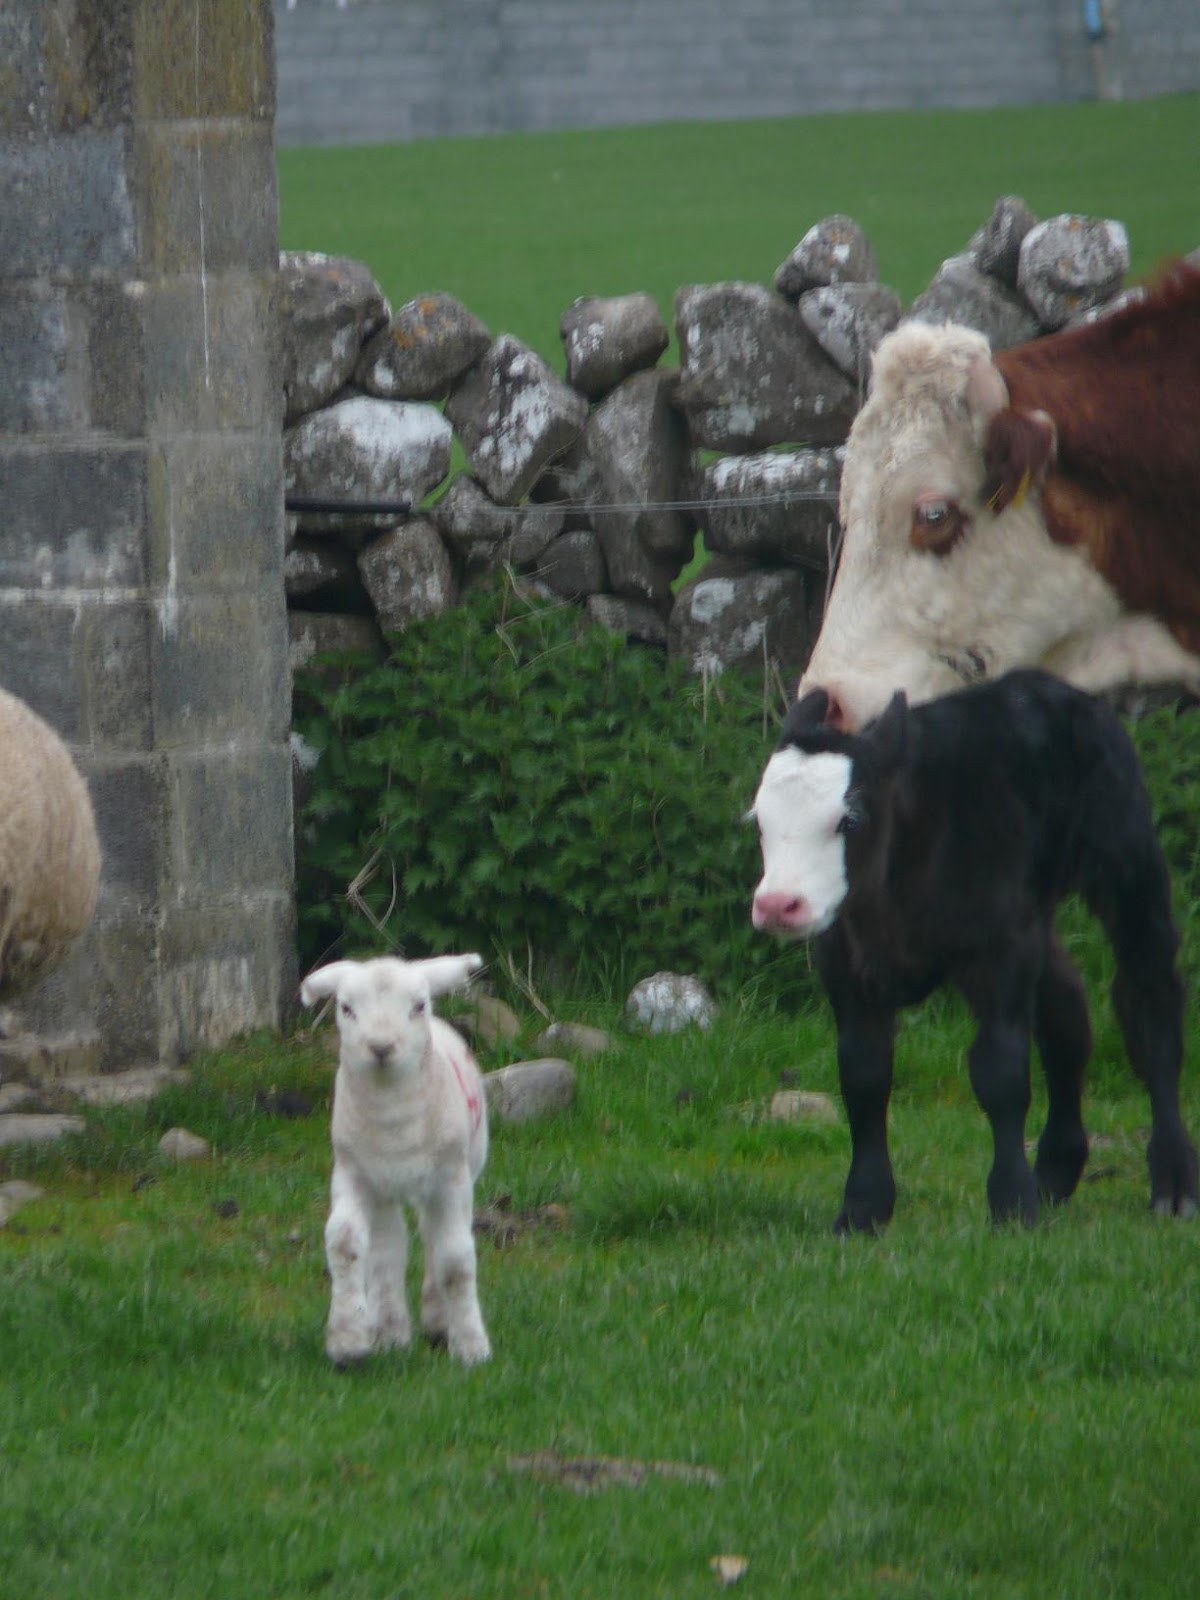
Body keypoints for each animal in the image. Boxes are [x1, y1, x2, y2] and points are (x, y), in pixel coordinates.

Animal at [300, 952, 492, 1367]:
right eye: (346, 1008)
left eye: (418, 1006)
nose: (381, 1047)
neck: (393, 1126)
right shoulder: (353, 1173)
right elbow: (345, 1243)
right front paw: (348, 1341)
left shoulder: (450, 1180)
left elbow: (455, 1260)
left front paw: (472, 1347)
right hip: (384, 1189)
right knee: (389, 1248)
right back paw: (390, 1332)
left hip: (465, 1165)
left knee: (434, 1238)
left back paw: (437, 1321)